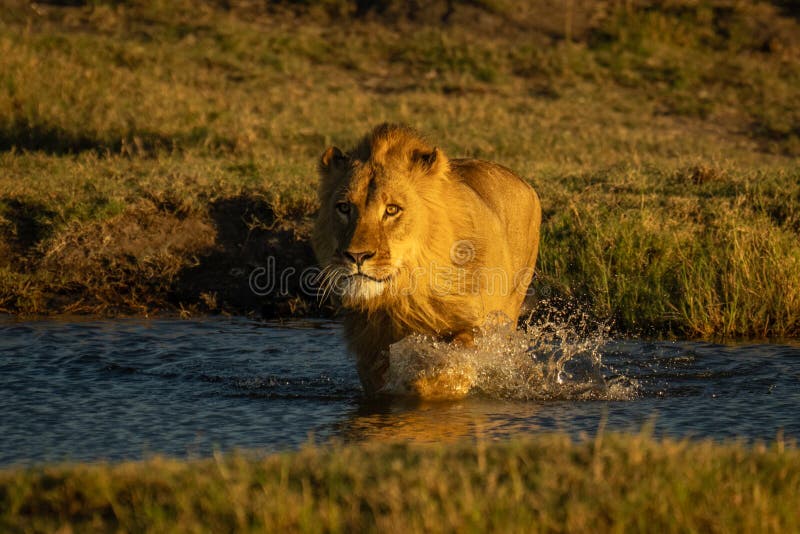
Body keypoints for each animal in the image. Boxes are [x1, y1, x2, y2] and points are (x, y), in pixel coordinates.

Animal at [312, 123, 541, 398]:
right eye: (344, 208)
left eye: (392, 210)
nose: (356, 256)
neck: (404, 295)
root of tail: (523, 181)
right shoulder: (370, 349)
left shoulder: (477, 328)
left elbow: (449, 366)